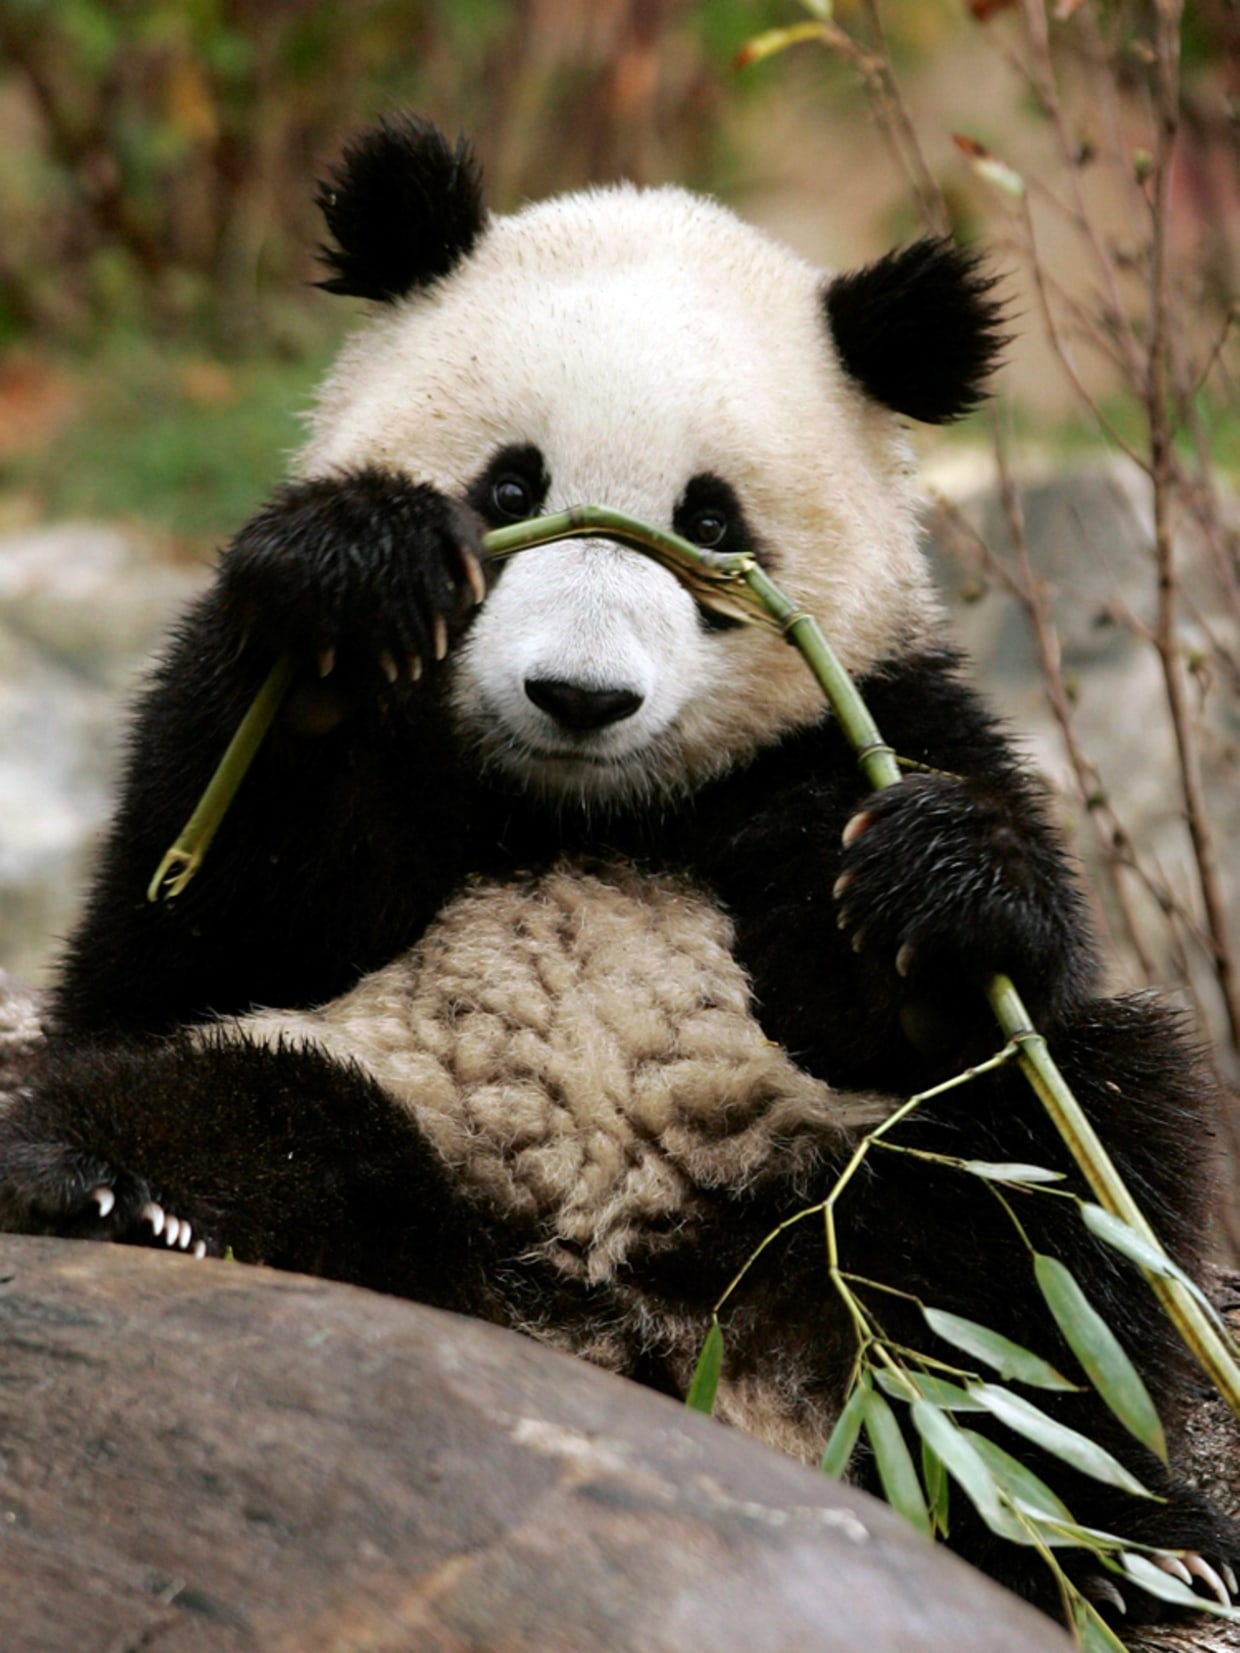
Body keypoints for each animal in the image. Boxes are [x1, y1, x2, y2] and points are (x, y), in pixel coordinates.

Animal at [1, 114, 1236, 1625]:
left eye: (709, 525)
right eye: (510, 487)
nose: (579, 695)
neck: (584, 814)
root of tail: (614, 1318)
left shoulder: (867, 724)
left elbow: (925, 993)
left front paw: (936, 885)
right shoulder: (217, 774)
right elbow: (184, 930)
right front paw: (360, 589)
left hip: (850, 1178)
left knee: (1050, 1196)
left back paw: (1109, 1534)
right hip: (377, 1091)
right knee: (221, 1107)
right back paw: (119, 1192)